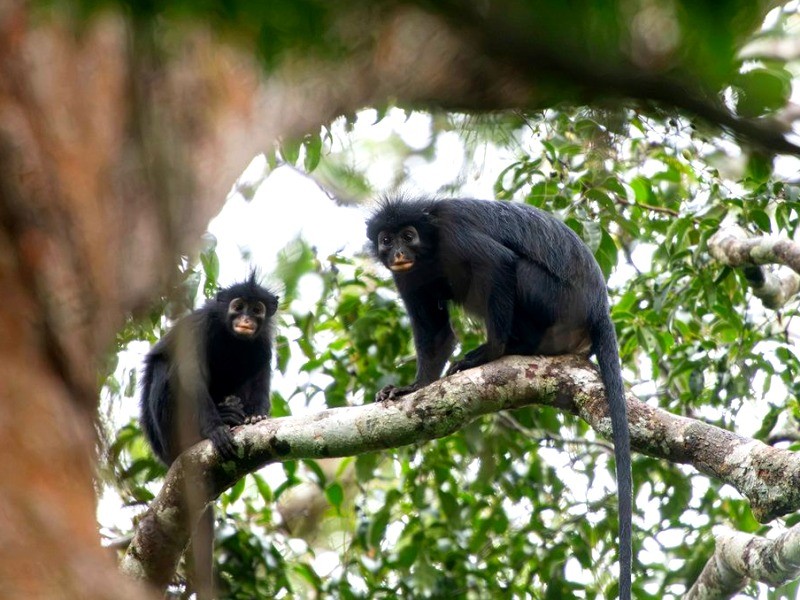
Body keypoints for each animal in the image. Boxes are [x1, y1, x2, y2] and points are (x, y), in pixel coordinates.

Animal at [139, 271, 278, 598]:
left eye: (257, 310)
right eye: (238, 306)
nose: (245, 320)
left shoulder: (263, 341)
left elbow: (261, 370)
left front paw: (256, 417)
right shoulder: (199, 328)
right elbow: (190, 375)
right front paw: (216, 429)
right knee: (166, 368)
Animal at [366, 197, 632, 600]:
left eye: (408, 236)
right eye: (386, 239)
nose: (398, 252)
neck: (430, 247)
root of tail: (597, 307)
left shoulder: (454, 234)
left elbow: (499, 263)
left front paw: (492, 351)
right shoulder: (408, 276)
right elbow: (437, 334)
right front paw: (411, 388)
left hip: (554, 300)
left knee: (512, 269)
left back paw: (511, 347)